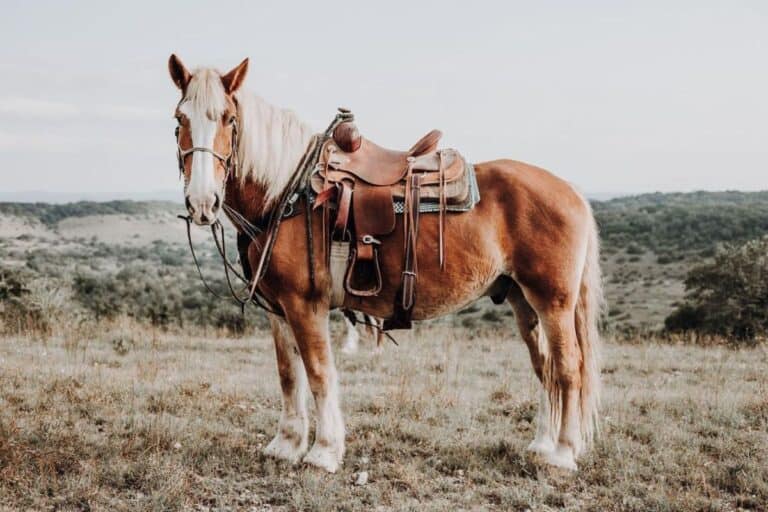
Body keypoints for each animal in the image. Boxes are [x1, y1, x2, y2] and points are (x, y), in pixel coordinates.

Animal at [167, 55, 604, 472]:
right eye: (179, 119)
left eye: (229, 119)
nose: (202, 202)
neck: (287, 193)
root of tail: (572, 191)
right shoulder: (278, 309)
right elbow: (289, 374)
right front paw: (286, 445)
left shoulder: (306, 305)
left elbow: (319, 373)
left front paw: (324, 451)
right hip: (522, 301)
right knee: (544, 367)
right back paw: (542, 445)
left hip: (553, 302)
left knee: (568, 368)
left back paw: (563, 454)